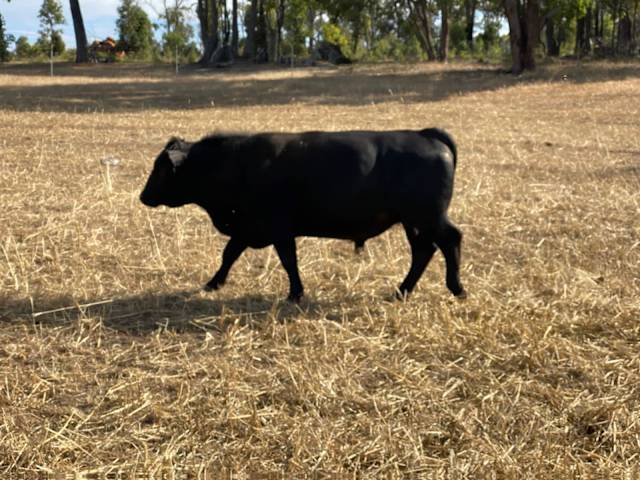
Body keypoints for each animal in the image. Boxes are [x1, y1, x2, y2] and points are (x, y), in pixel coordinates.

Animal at [140, 129, 465, 302]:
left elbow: (288, 261)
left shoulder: (278, 228)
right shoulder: (247, 227)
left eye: (161, 168)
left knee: (451, 241)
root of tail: (425, 135)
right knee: (424, 251)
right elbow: (229, 254)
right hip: (414, 222)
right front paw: (213, 283)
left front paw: (295, 293)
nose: (143, 196)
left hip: (428, 217)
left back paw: (456, 288)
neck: (237, 163)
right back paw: (402, 290)